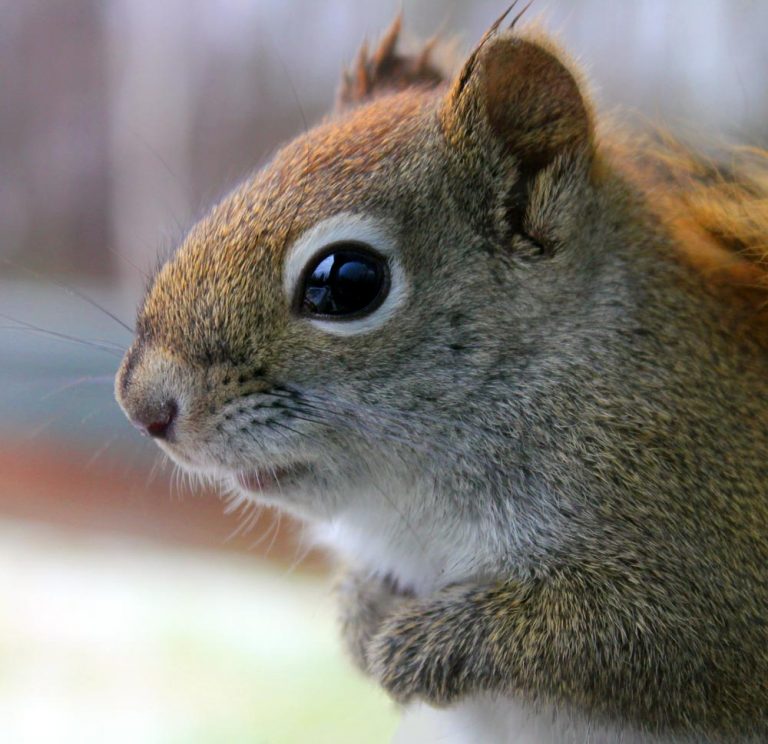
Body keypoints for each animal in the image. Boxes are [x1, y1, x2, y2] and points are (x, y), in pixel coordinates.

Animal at [115, 8, 768, 743]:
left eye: (346, 282)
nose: (142, 407)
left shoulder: (713, 561)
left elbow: (646, 639)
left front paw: (428, 643)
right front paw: (362, 613)